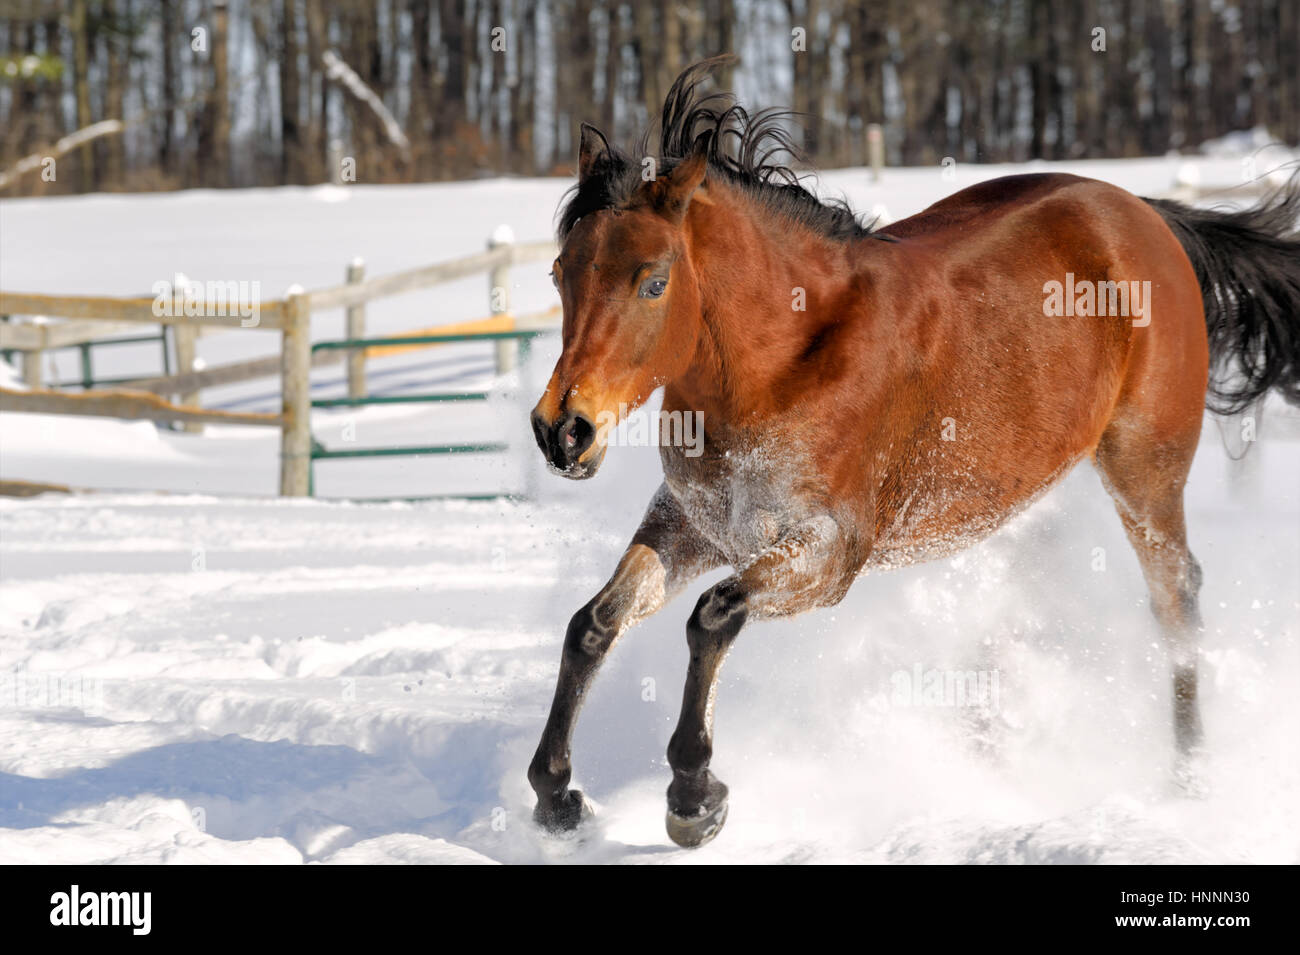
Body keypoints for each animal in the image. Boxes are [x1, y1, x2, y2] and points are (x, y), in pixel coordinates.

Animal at [526, 57, 1300, 848]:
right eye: (560, 274)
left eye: (653, 280)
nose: (563, 431)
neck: (787, 361)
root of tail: (1148, 216)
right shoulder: (696, 524)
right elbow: (594, 623)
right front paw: (557, 795)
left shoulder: (831, 550)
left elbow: (712, 617)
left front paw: (694, 796)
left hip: (1145, 468)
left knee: (1177, 601)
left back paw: (1187, 781)